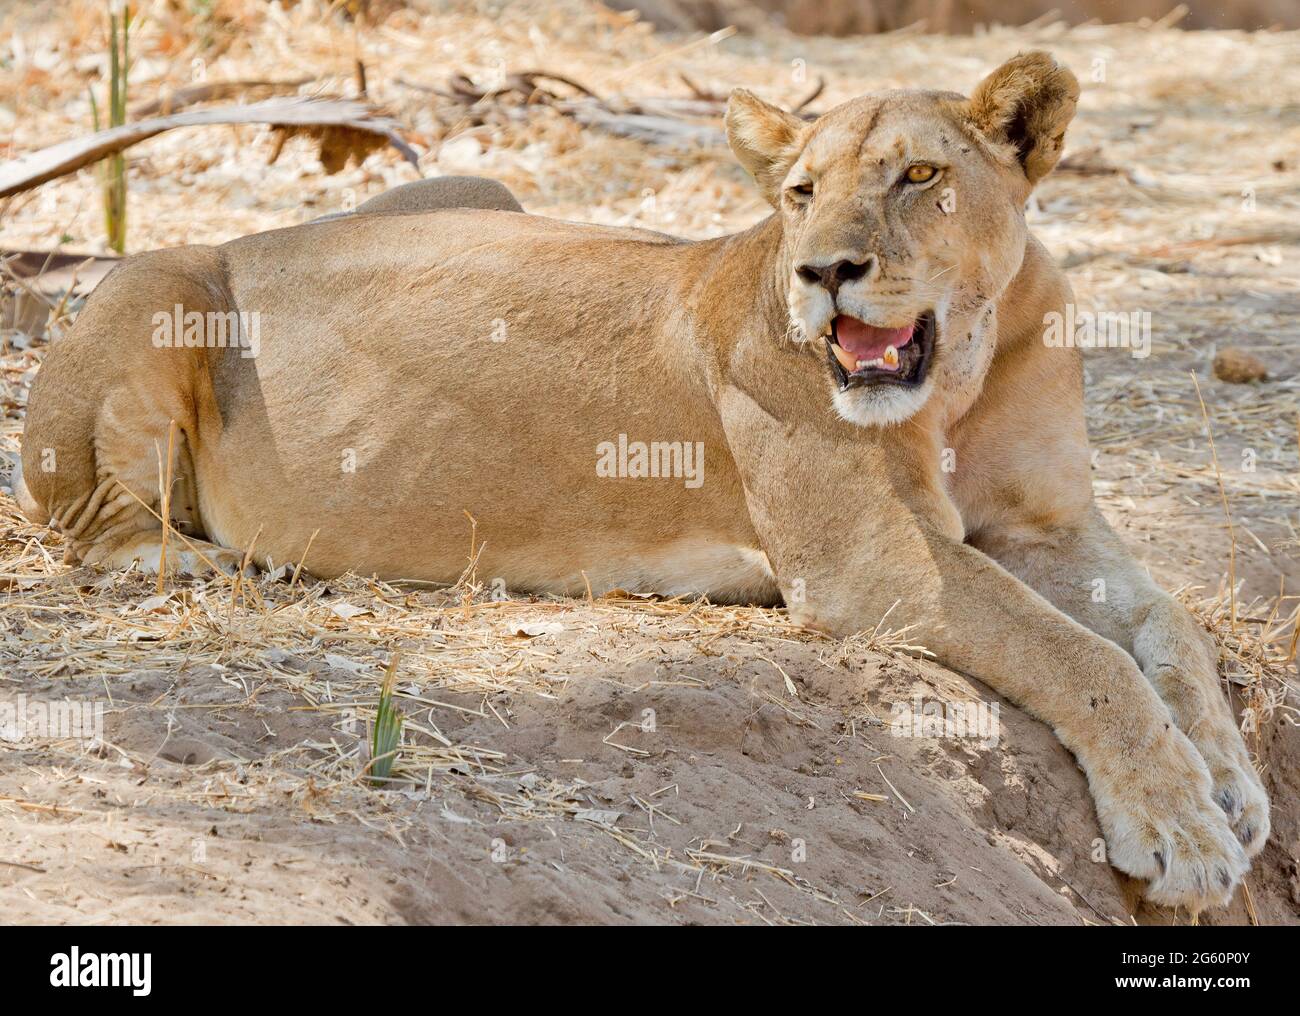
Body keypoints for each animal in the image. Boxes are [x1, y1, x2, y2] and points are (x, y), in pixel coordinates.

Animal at [14, 52, 1267, 912]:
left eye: (919, 176)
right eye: (800, 192)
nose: (825, 271)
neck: (960, 366)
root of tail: (256, 236)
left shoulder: (1049, 526)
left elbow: (1164, 627)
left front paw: (1231, 787)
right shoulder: (869, 558)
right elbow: (1080, 655)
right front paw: (1180, 827)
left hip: (478, 185)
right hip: (164, 280)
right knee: (94, 519)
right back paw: (202, 558)